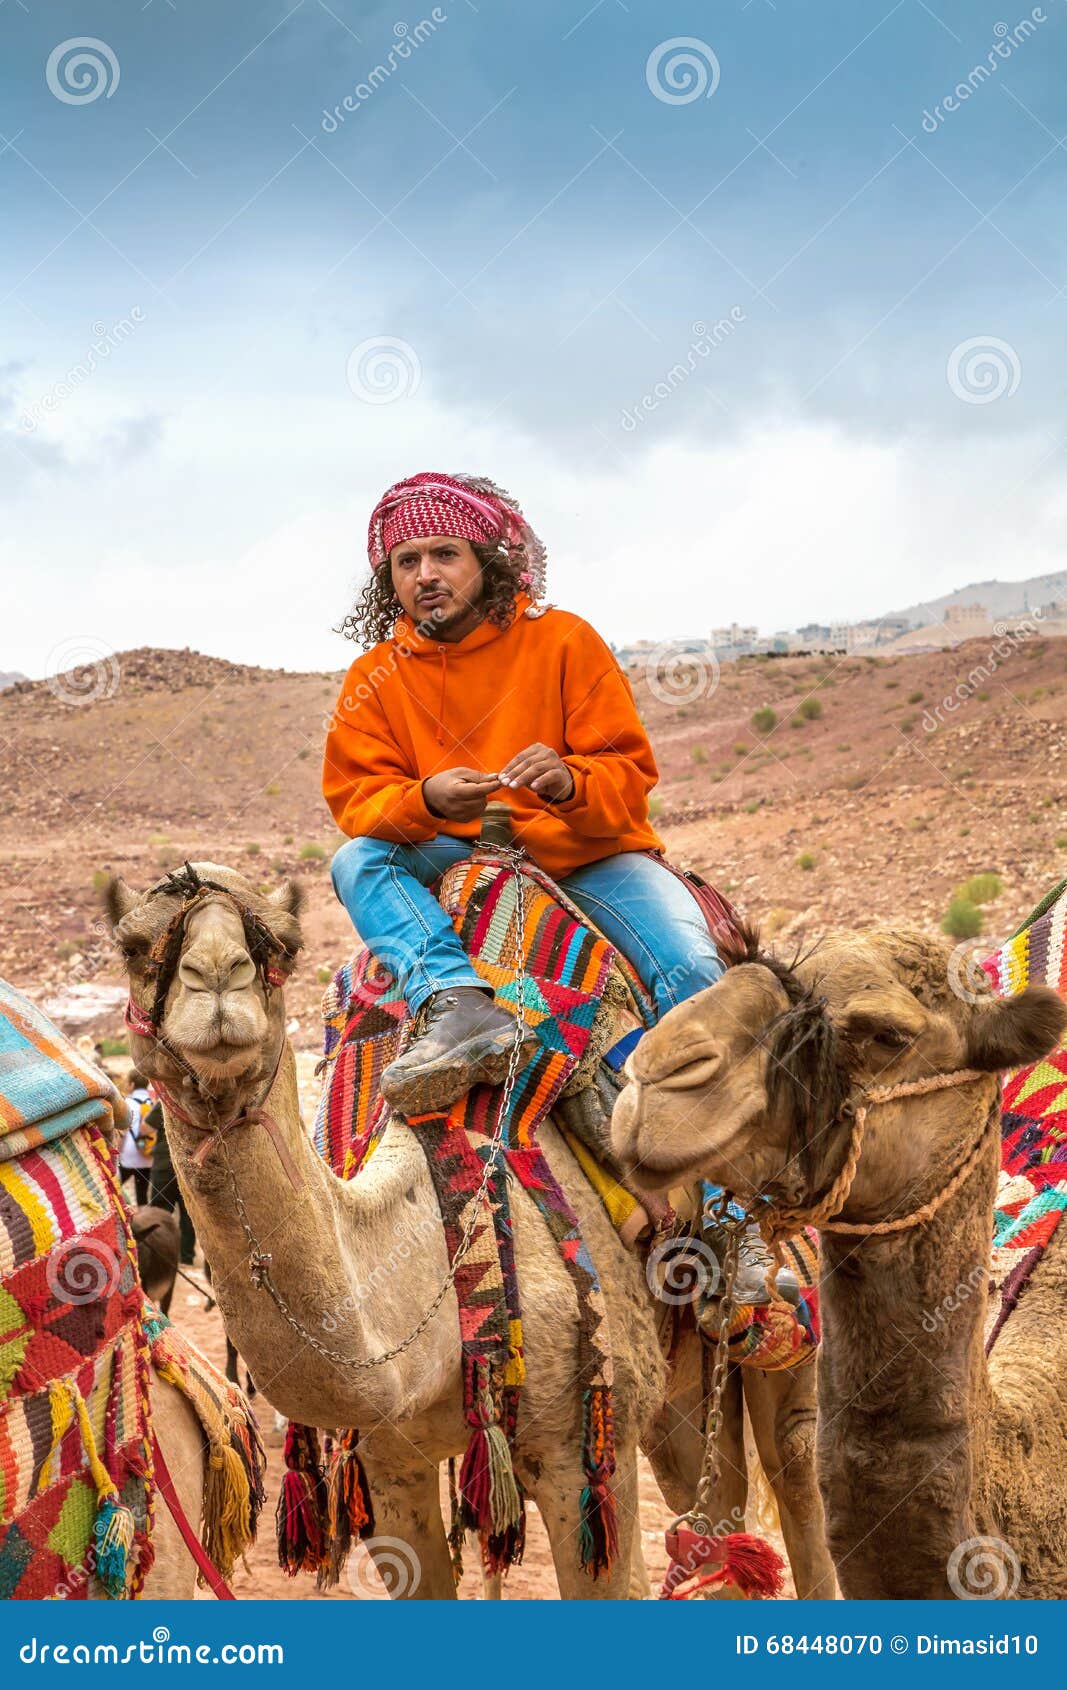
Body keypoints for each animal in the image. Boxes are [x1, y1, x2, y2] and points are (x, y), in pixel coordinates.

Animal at [104, 861, 834, 1599]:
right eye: (133, 947)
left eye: (281, 945)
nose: (217, 978)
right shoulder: (386, 1471)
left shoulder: (585, 1453)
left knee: (796, 1474)